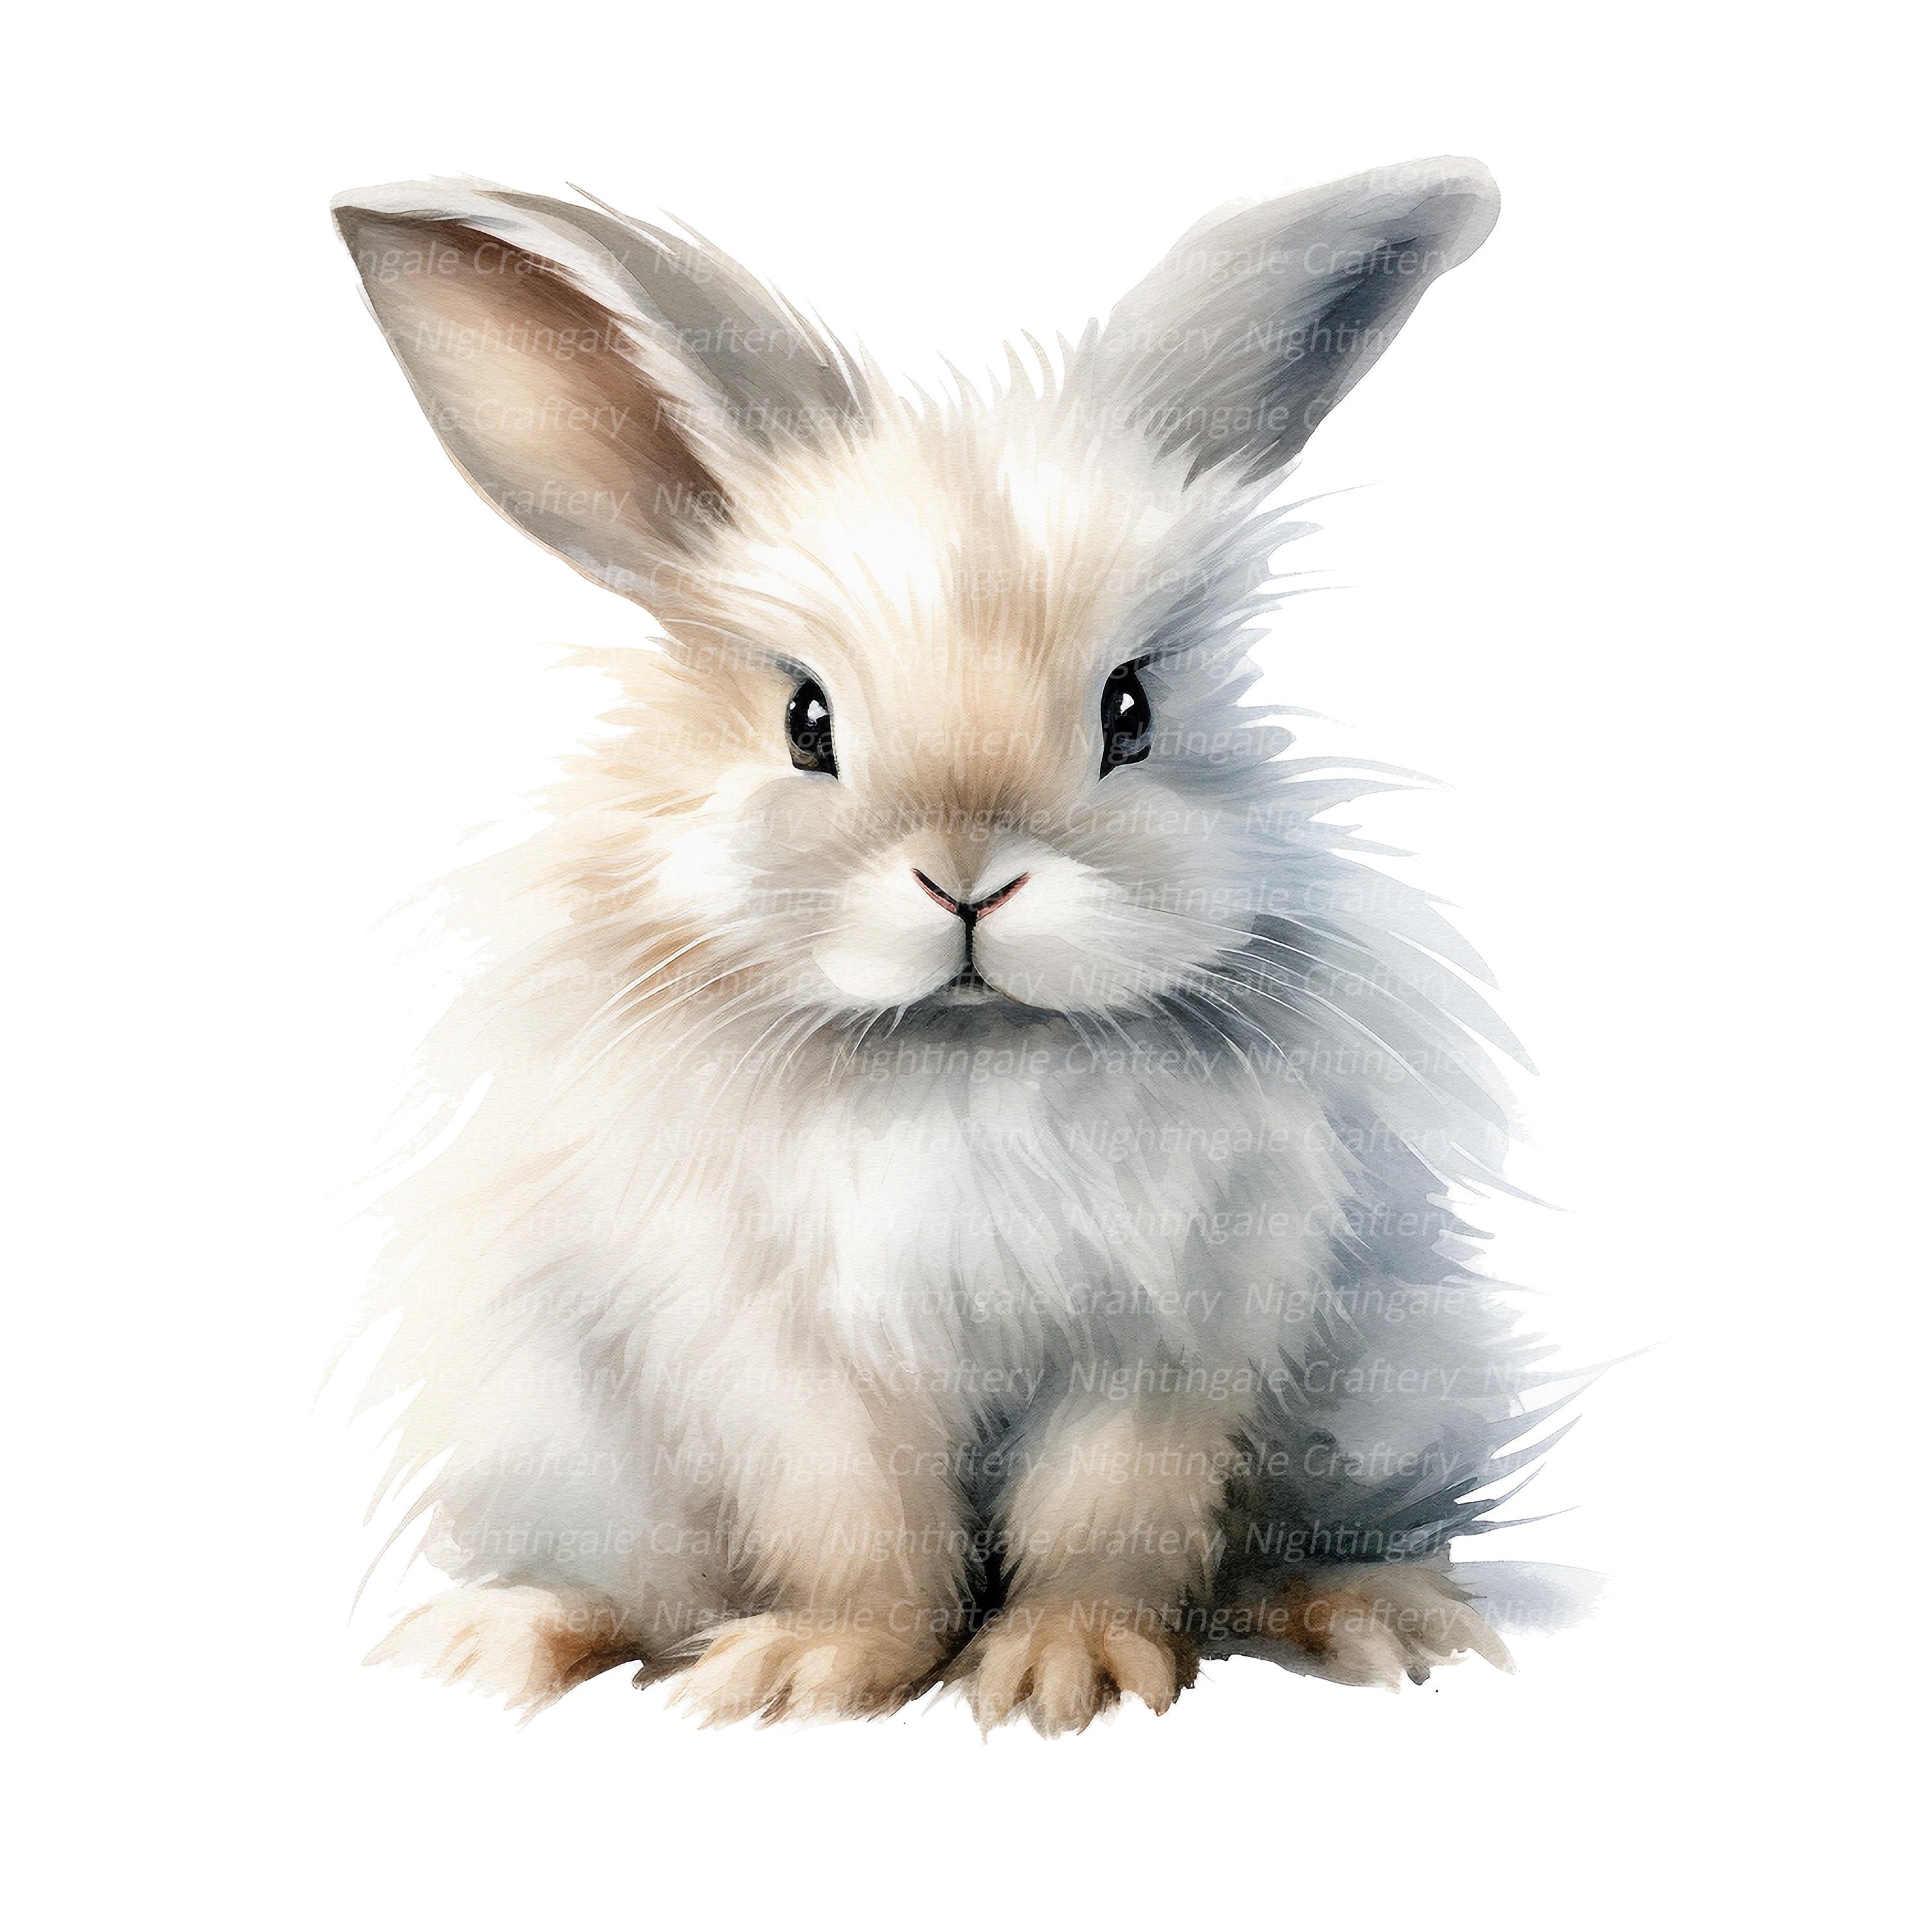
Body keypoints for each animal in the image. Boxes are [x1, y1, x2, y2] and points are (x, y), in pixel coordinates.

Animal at [334, 157, 1566, 1735]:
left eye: (1130, 711)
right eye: (806, 720)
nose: (971, 883)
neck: (964, 1050)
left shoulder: (1173, 1331)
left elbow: (1106, 1516)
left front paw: (1066, 1671)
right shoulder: (779, 1346)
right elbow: (858, 1525)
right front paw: (815, 1671)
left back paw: (1376, 1617)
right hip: (553, 1440)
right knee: (627, 1578)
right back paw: (499, 1640)